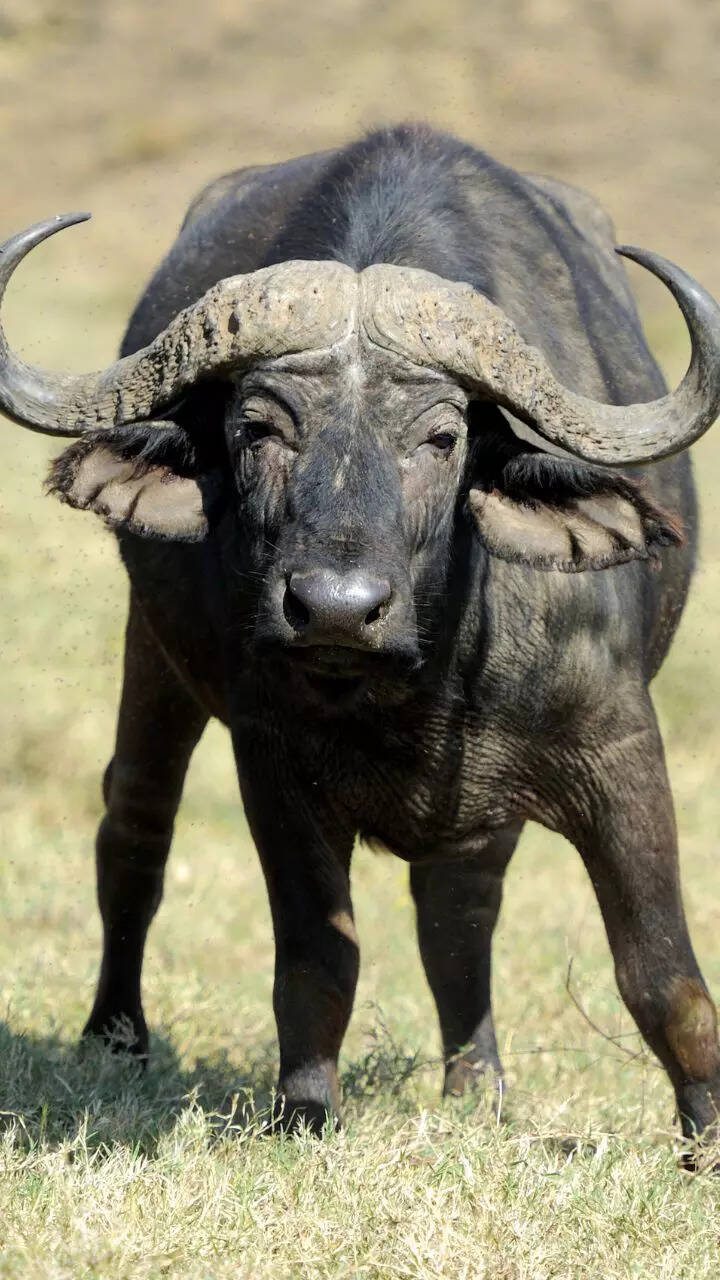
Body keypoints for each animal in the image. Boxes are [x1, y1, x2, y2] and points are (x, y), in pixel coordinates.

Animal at [2, 124, 720, 1150]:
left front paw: (703, 1135)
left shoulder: (617, 744)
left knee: (461, 904)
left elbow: (661, 971)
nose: (335, 607)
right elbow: (317, 958)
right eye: (258, 429)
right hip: (153, 656)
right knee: (135, 825)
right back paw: (115, 1038)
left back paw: (476, 1085)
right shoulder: (273, 765)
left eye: (442, 438)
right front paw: (304, 1112)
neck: (409, 674)